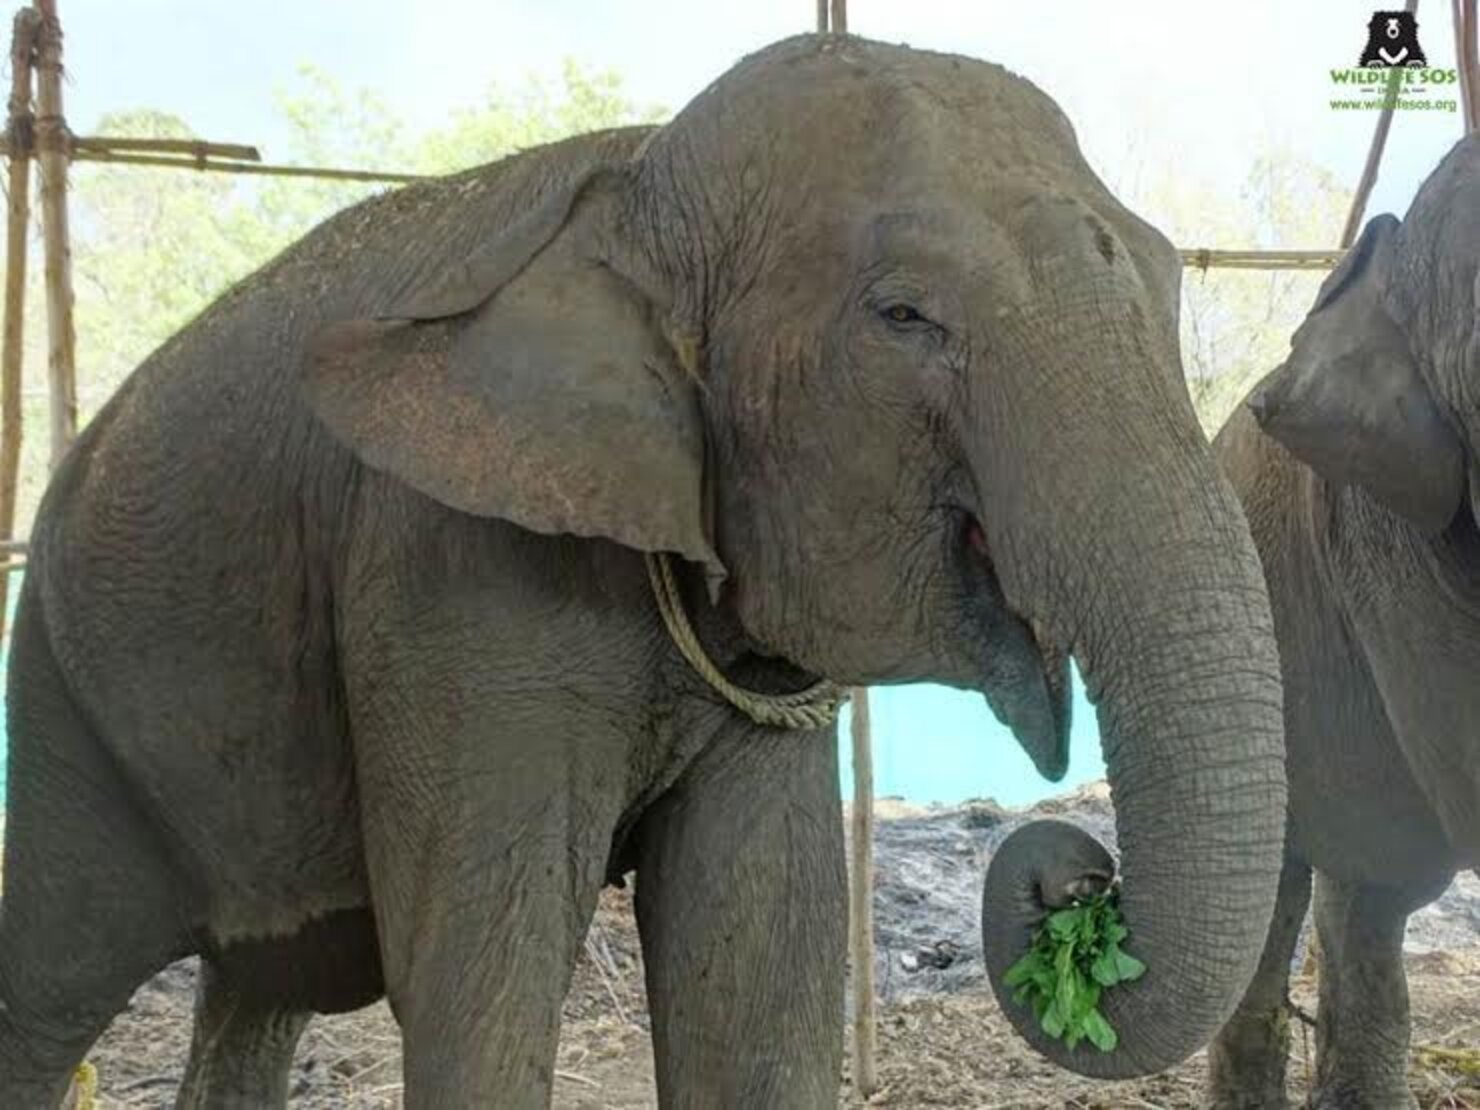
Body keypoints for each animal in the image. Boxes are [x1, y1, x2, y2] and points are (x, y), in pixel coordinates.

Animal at [0, 33, 1287, 1108]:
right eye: (904, 316)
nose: (1074, 877)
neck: (637, 183)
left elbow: (754, 970)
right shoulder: (448, 573)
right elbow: (482, 974)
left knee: (255, 998)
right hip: (59, 698)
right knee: (52, 979)